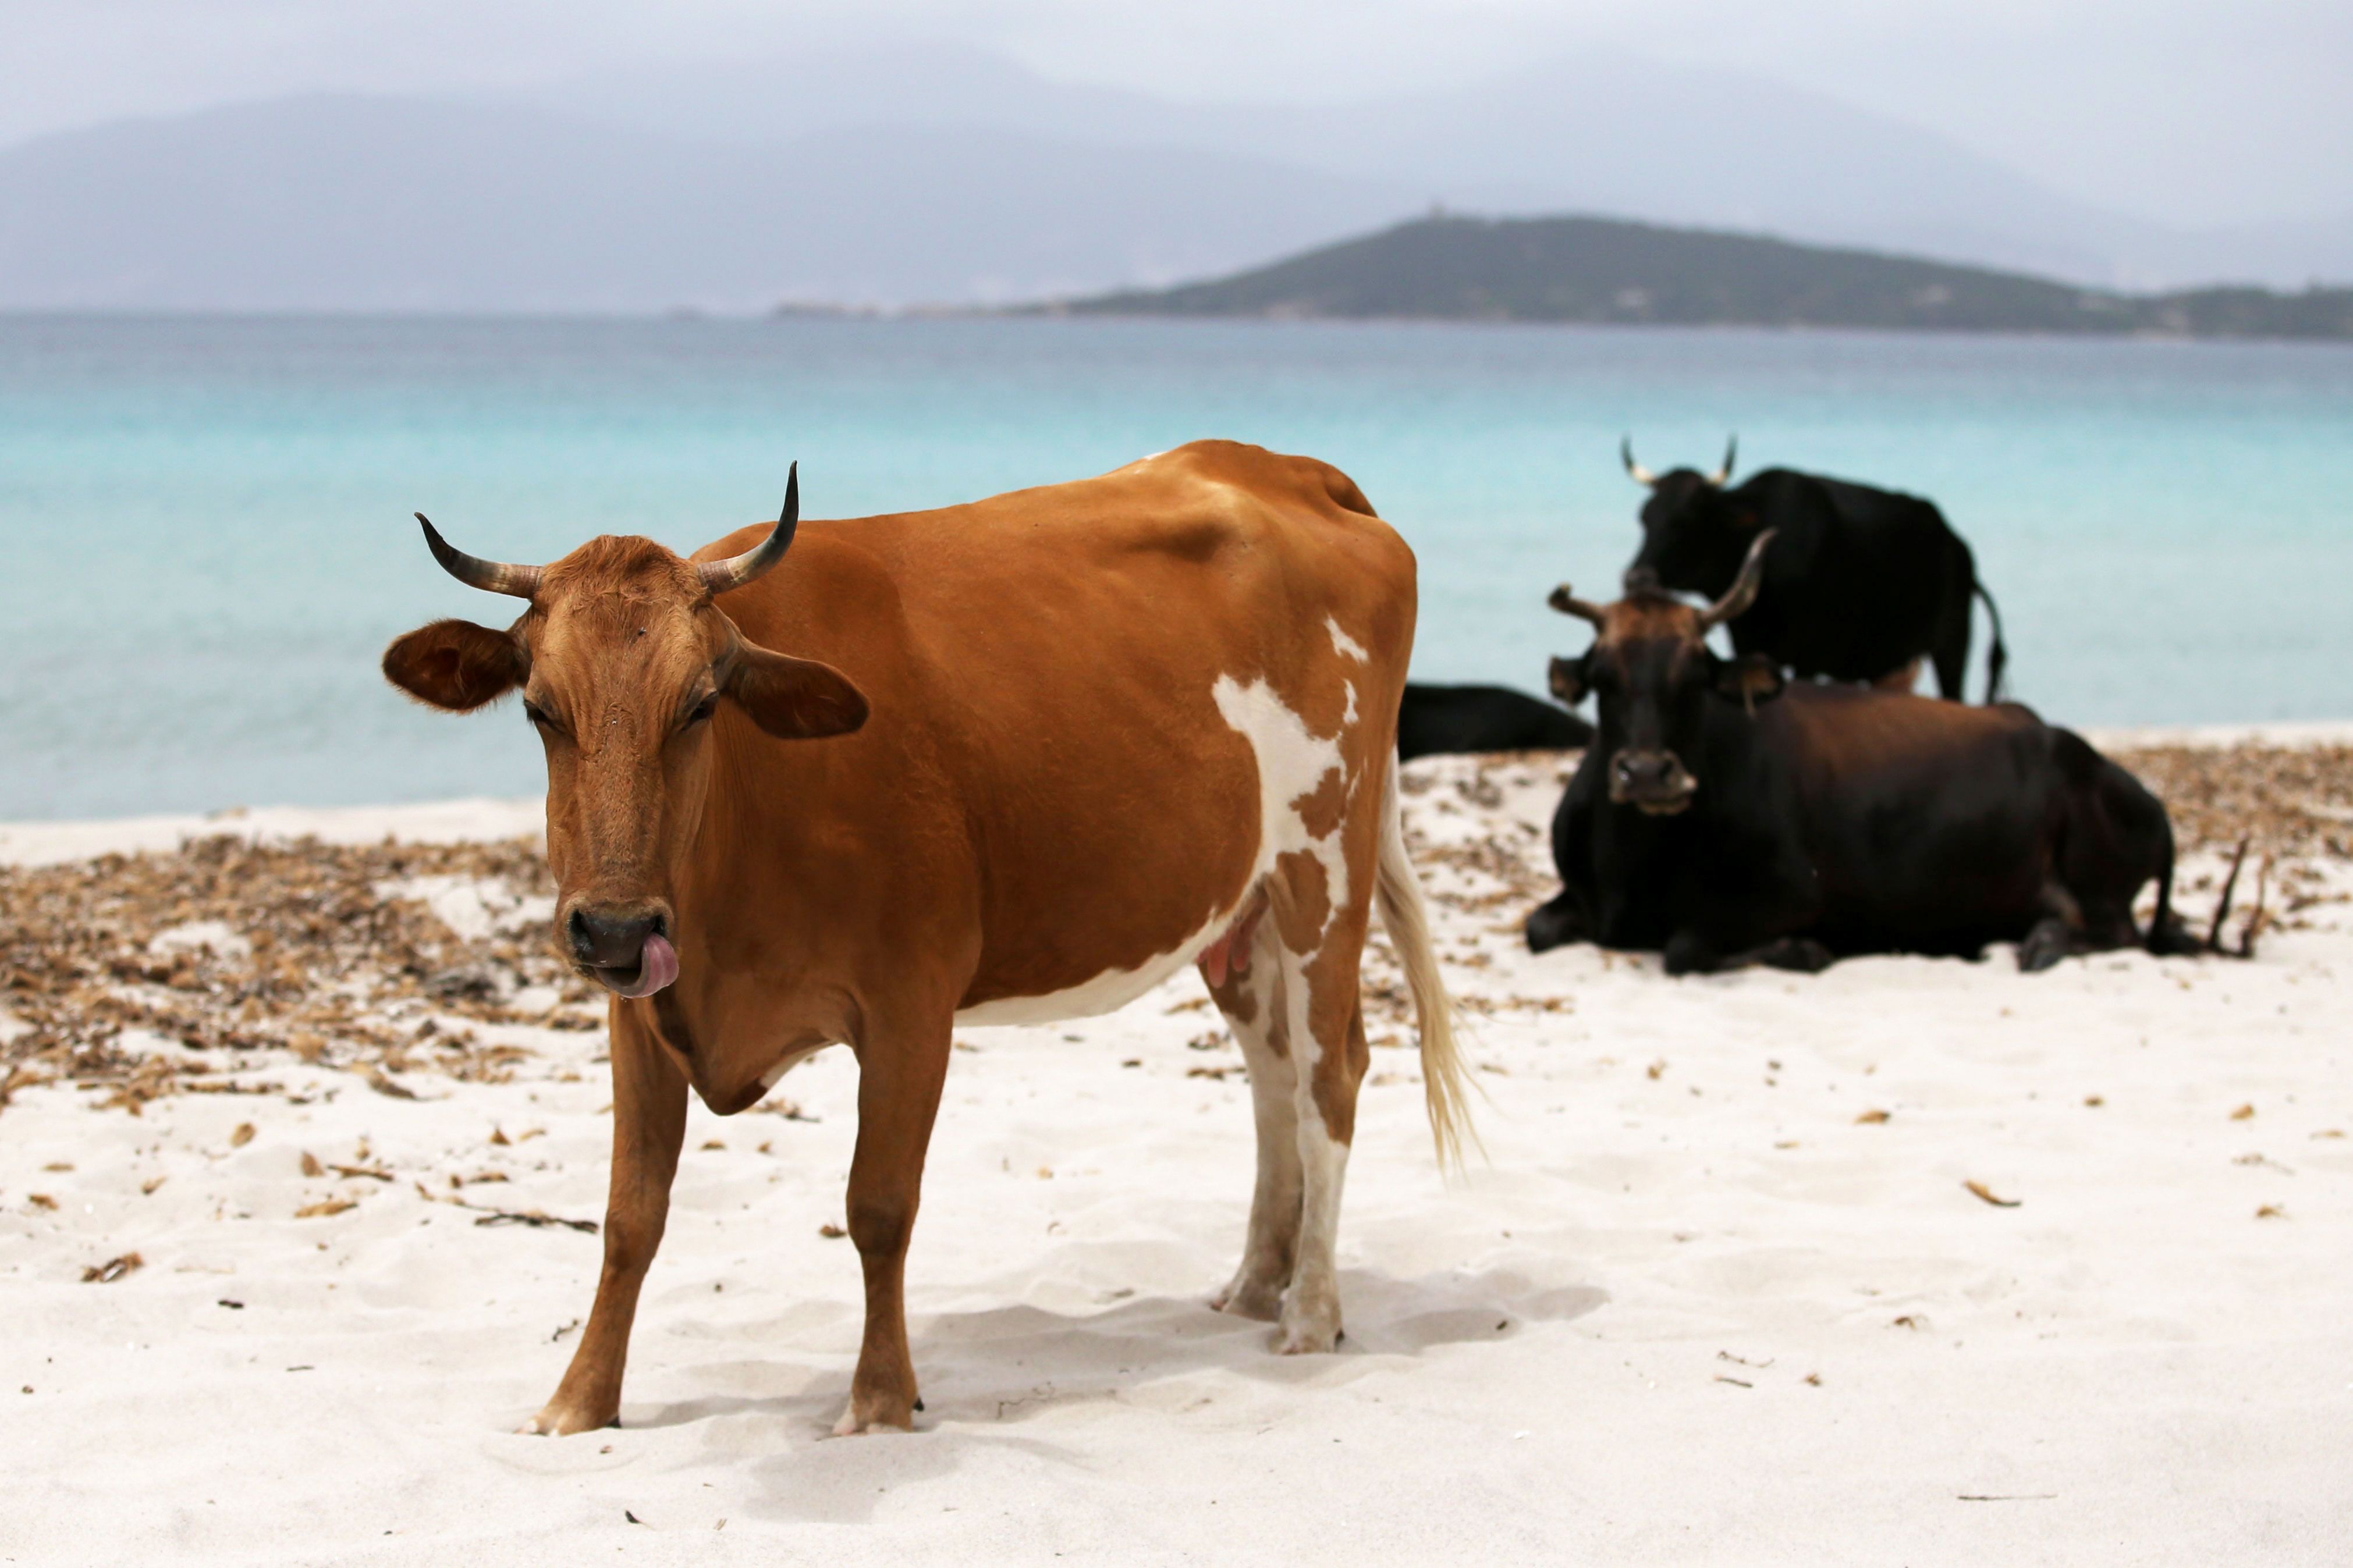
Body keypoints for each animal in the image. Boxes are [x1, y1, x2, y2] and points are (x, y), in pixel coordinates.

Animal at [380, 441, 1473, 1439]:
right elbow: (628, 1217)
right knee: (1272, 1075)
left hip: (1324, 867)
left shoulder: (911, 1005)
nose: (612, 925)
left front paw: (876, 1400)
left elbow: (877, 1205)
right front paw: (578, 1400)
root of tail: (1284, 468)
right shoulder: (639, 1015)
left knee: (1330, 1075)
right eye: (538, 709)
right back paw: (1253, 1282)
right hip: (1238, 908)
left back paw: (1309, 1311)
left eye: (700, 704)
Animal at [1525, 532, 2201, 975]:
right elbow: (1535, 928)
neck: (1635, 862)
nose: (1646, 774)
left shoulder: (1791, 894)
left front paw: (1801, 949)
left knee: (2120, 930)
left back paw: (2042, 943)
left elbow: (1684, 947)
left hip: (2095, 876)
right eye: (1603, 678)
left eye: (1695, 677)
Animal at [1619, 436, 2009, 702]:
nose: (1637, 579)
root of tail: (1958, 546)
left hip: (1952, 648)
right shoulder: (1749, 643)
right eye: (1645, 517)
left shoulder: (1807, 655)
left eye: (1687, 521)